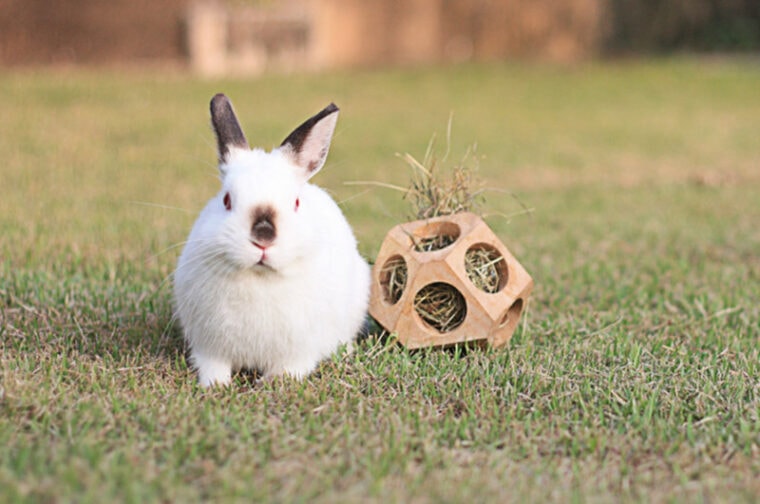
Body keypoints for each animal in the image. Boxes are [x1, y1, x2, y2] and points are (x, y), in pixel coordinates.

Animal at [173, 94, 370, 387]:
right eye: (226, 200)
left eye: (296, 203)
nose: (263, 238)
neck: (260, 278)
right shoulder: (209, 349)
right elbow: (213, 367)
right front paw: (216, 385)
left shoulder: (299, 351)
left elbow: (289, 368)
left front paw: (271, 383)